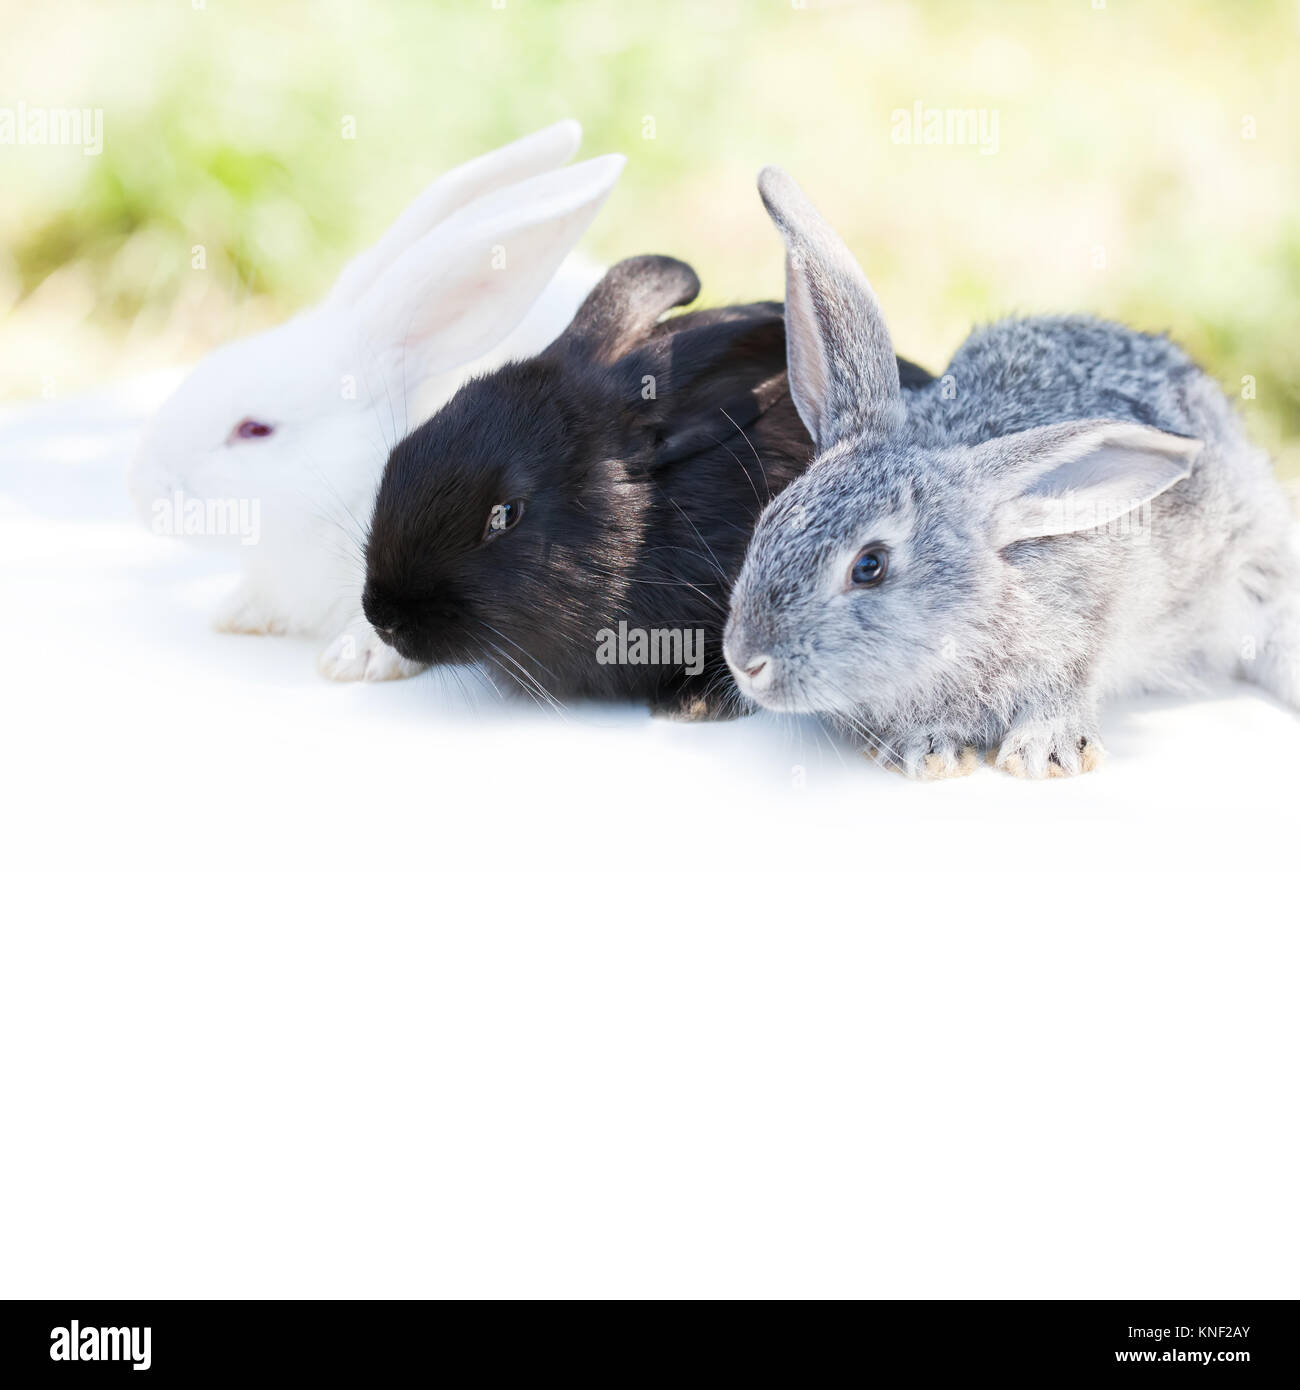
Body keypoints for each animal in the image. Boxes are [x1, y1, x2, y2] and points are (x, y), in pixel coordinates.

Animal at [723, 166, 1300, 778]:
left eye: (869, 567)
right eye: (766, 522)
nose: (745, 660)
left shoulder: (1088, 623)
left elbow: (1067, 683)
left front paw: (1046, 752)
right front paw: (922, 747)